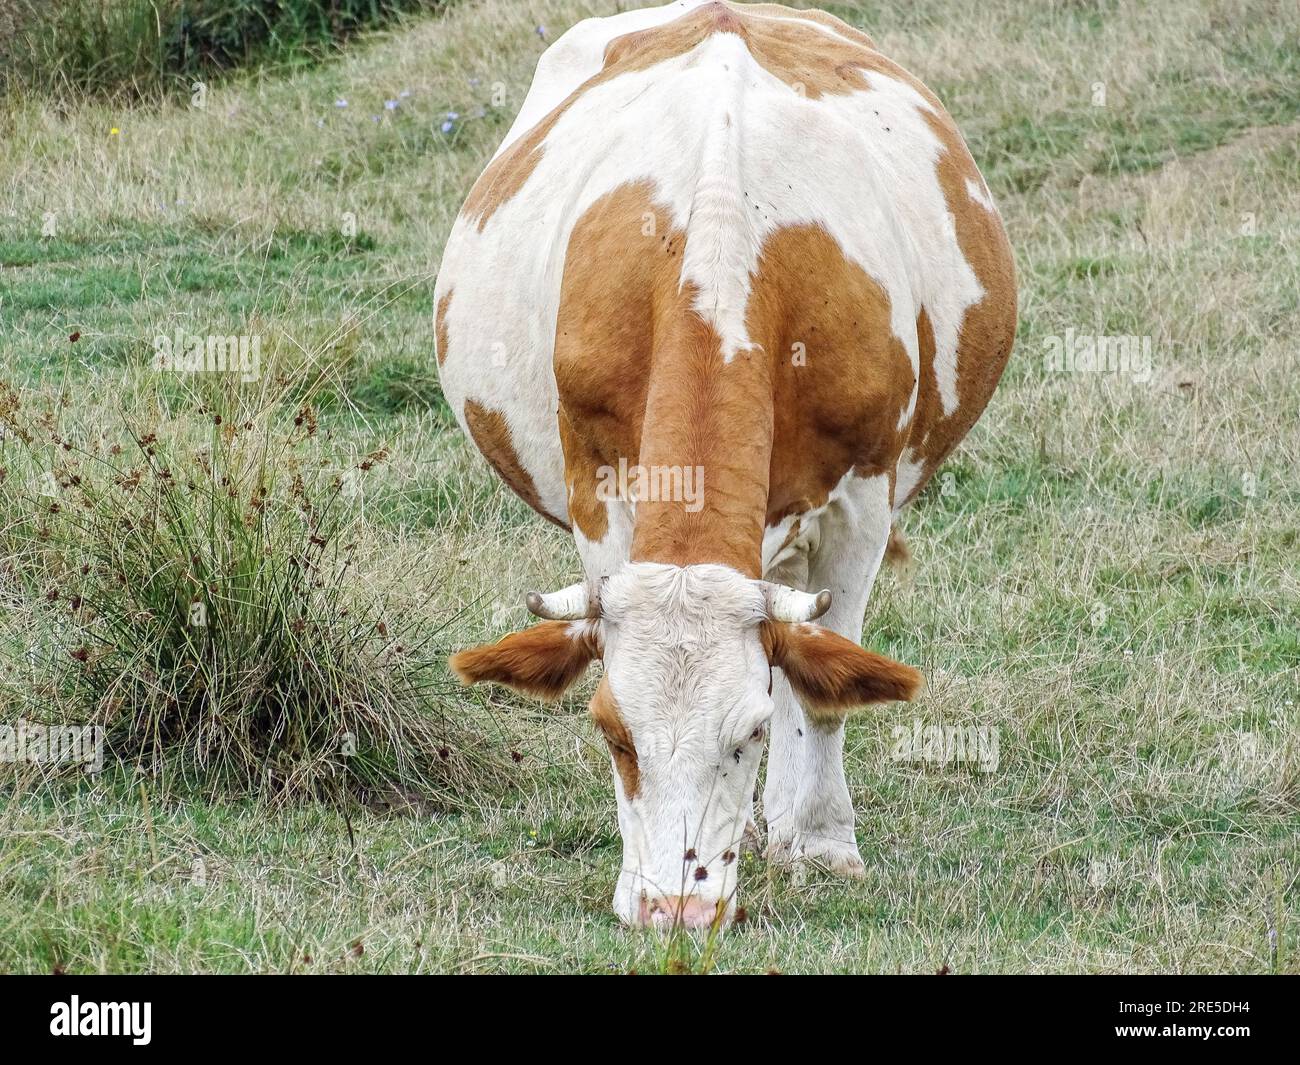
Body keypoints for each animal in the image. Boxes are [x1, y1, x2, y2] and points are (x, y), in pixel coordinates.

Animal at [436, 0, 1016, 929]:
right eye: (613, 732)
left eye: (746, 733)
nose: (679, 911)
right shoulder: (598, 487)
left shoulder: (862, 501)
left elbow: (820, 684)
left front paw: (820, 842)